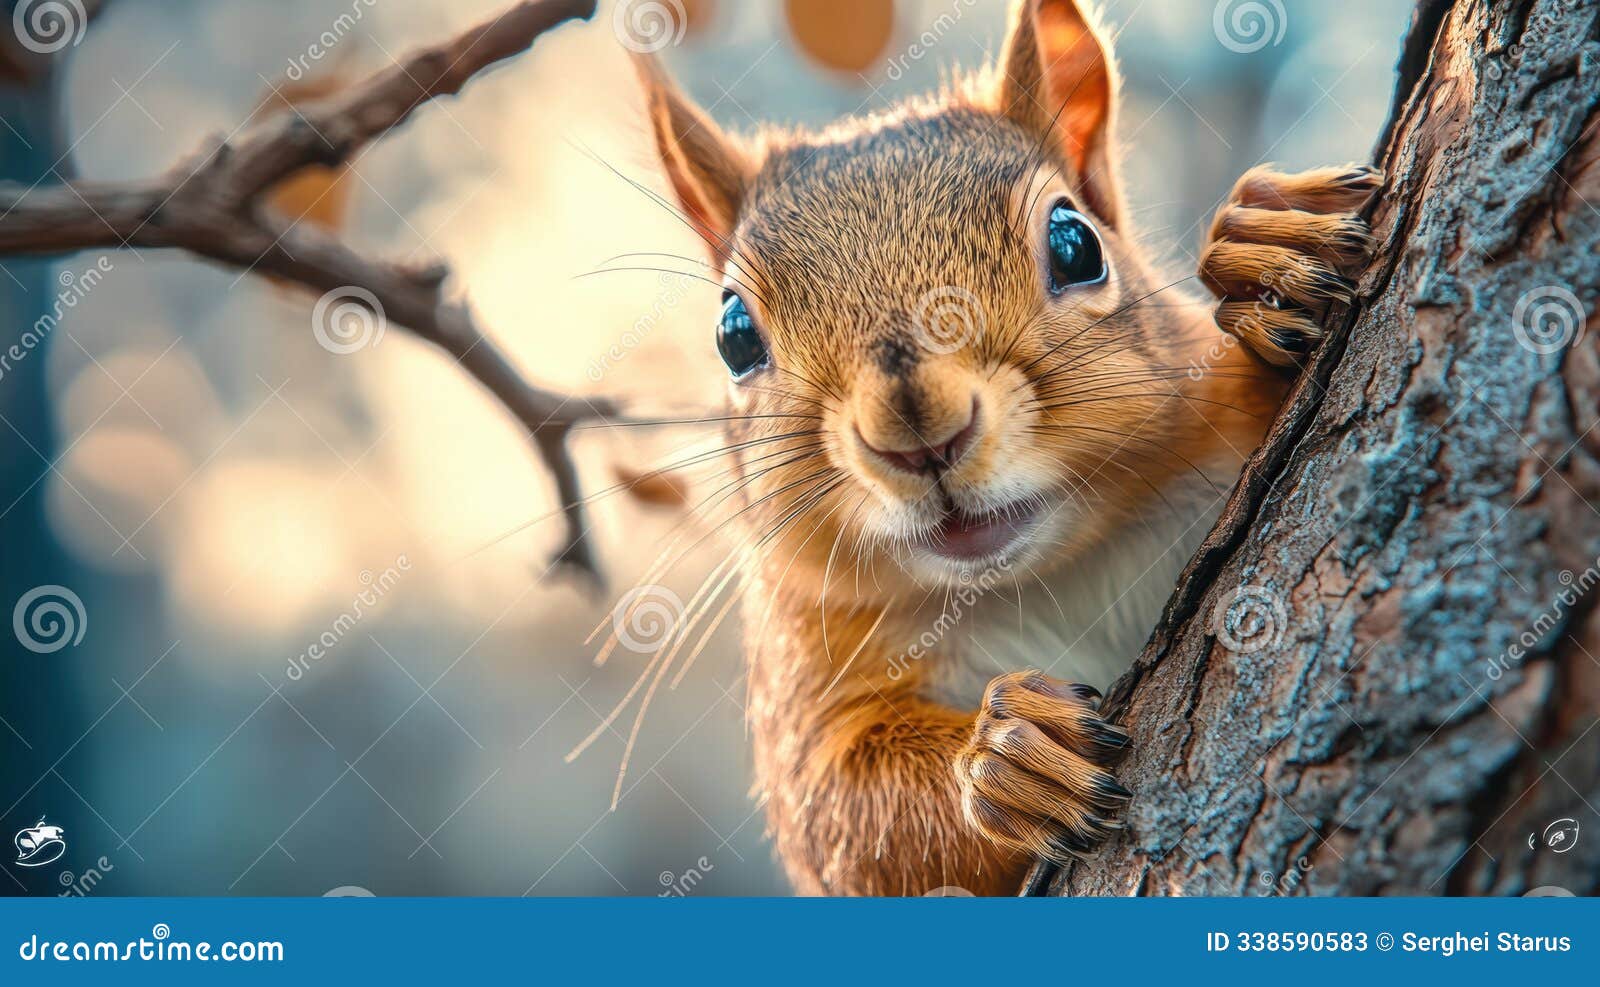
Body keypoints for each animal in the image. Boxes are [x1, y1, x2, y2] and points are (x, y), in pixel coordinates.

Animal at [627, 0, 1379, 896]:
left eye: (1077, 244)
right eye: (733, 336)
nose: (919, 433)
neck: (1045, 573)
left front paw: (1267, 250)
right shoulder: (807, 657)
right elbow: (841, 816)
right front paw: (1005, 762)